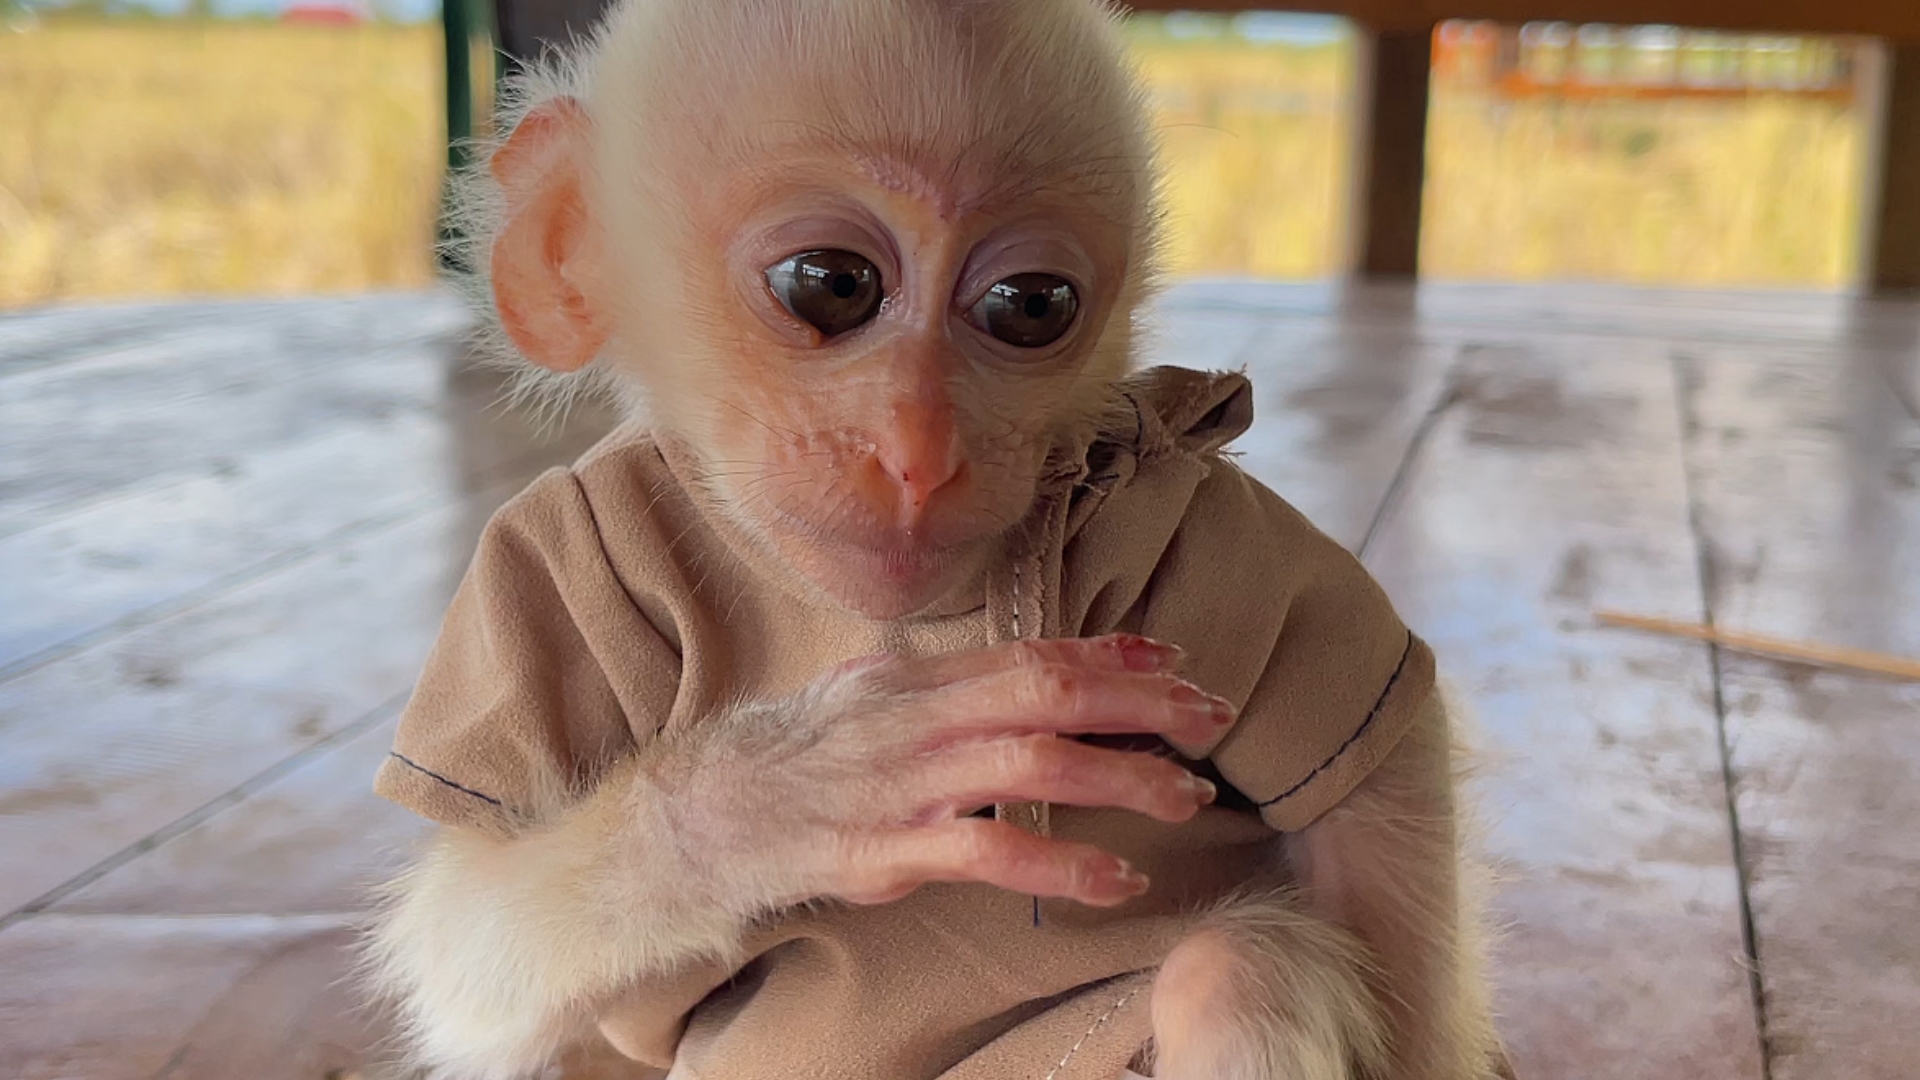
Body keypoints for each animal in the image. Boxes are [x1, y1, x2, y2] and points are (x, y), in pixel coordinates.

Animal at [357, 1, 1512, 1078]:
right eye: (831, 283)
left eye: (1030, 305)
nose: (920, 450)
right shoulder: (552, 549)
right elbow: (475, 960)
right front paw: (799, 790)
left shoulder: (1170, 501)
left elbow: (1373, 771)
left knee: (1238, 971)